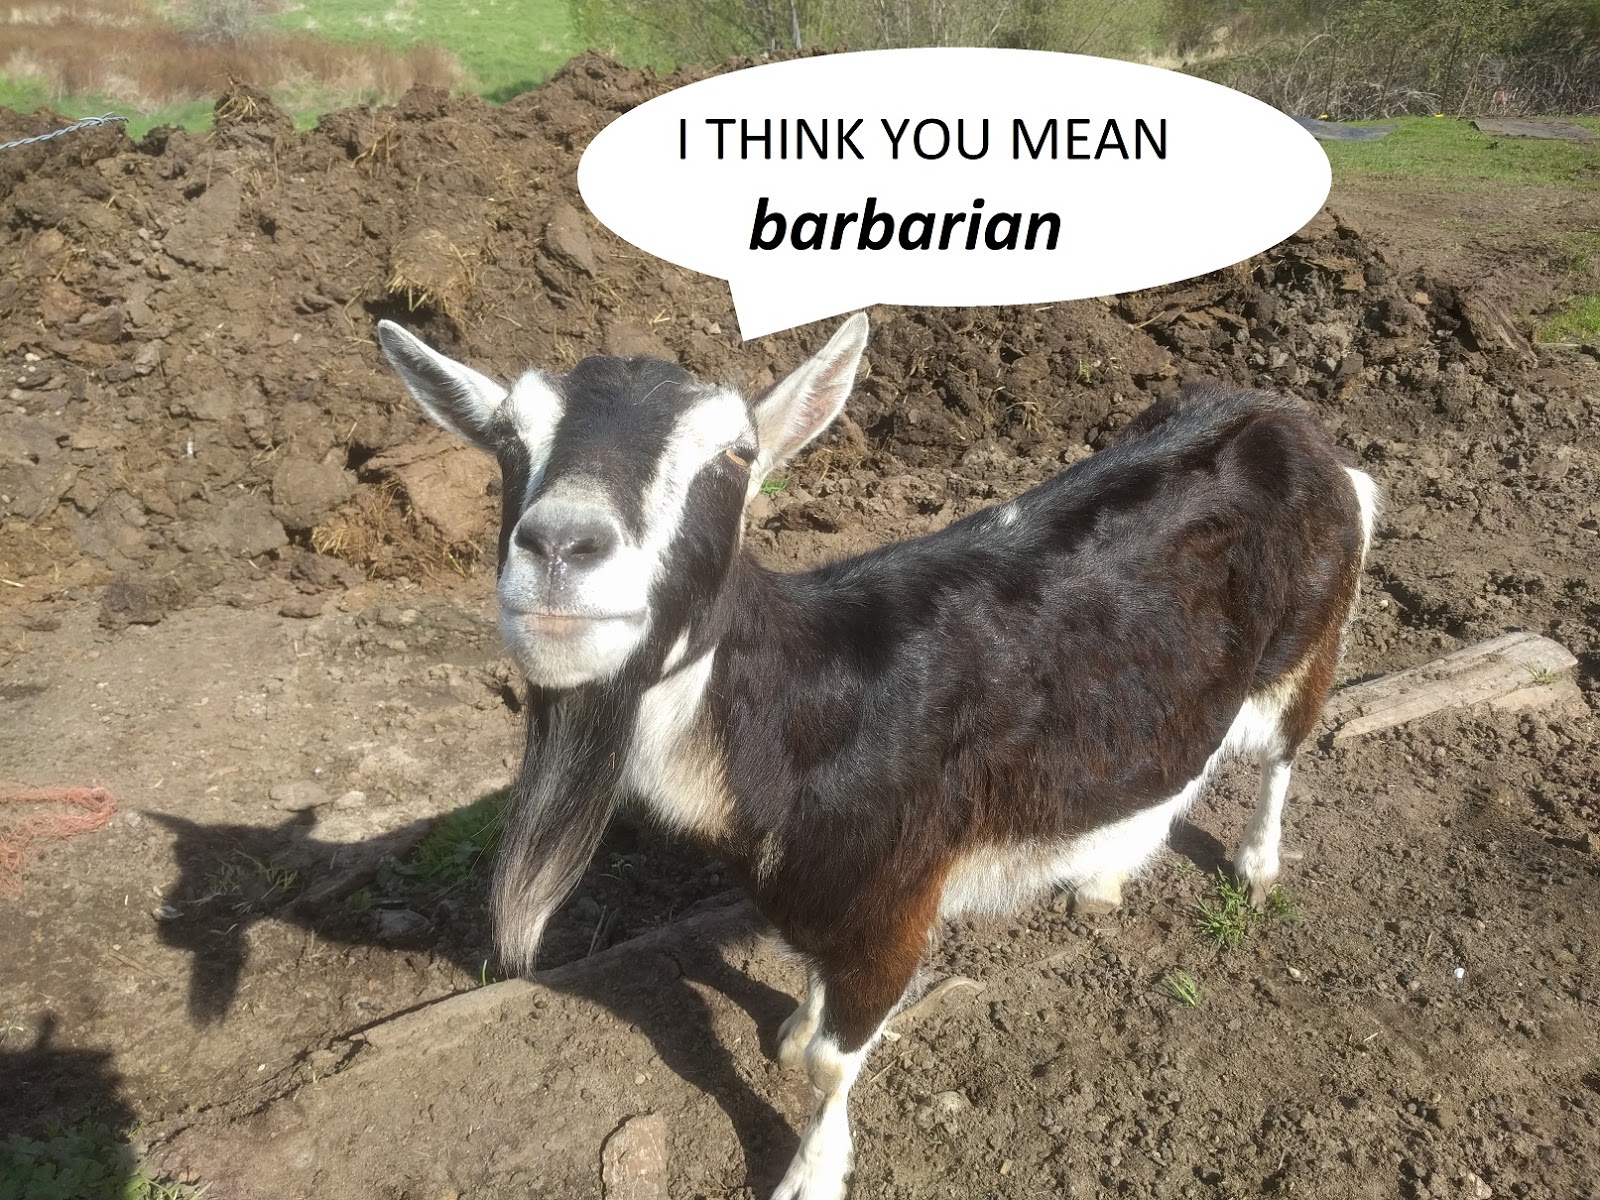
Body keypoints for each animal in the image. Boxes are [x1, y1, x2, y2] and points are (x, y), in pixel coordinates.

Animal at [376, 313, 1377, 1200]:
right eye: (506, 440)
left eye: (736, 456)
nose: (560, 546)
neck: (804, 709)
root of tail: (1289, 423)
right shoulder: (818, 893)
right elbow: (809, 997)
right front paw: (791, 1026)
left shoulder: (899, 894)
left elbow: (830, 1065)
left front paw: (811, 1174)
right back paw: (1103, 876)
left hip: (1308, 636)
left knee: (1283, 751)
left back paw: (1255, 866)